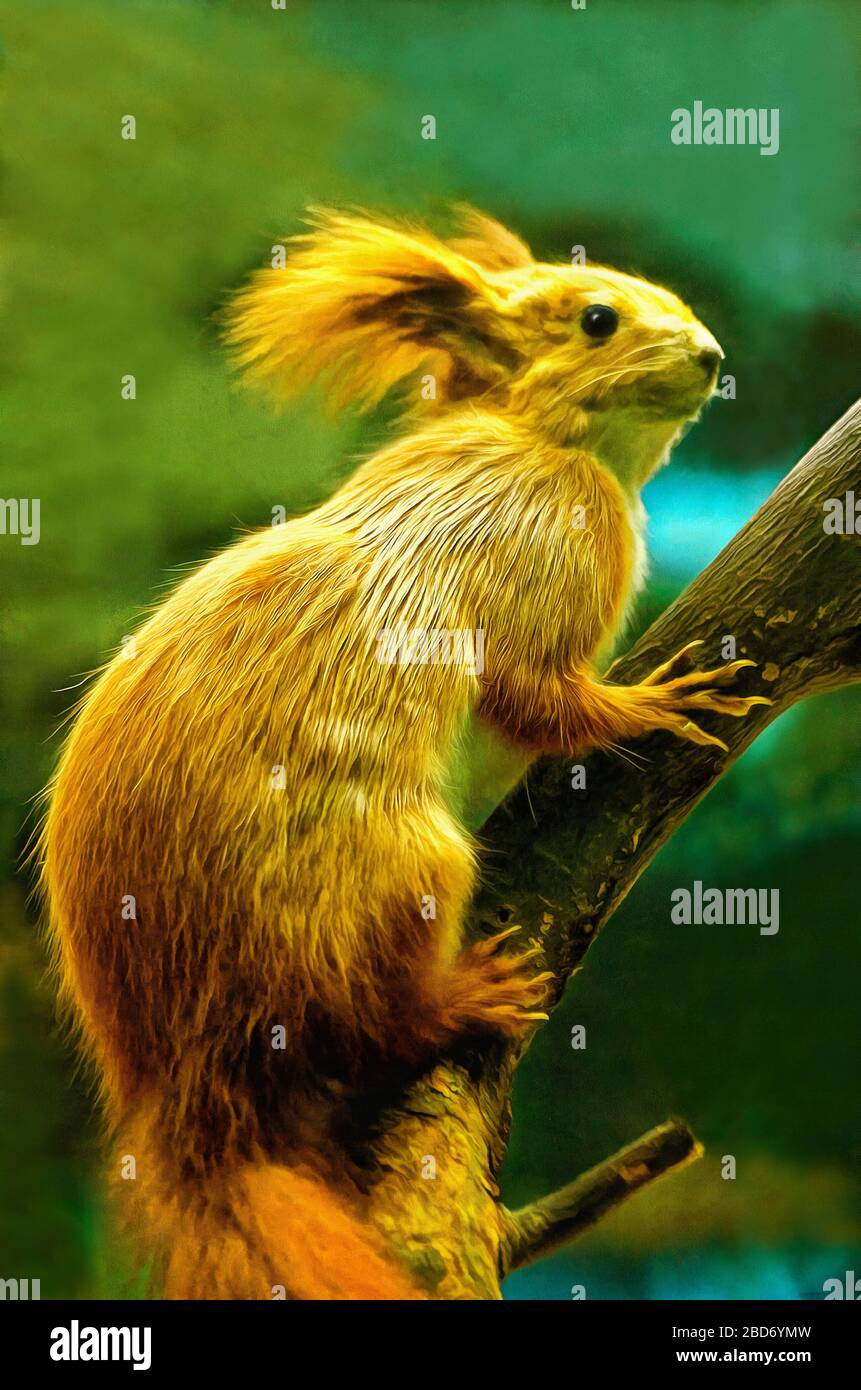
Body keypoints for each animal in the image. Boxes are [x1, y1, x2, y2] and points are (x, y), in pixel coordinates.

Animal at [39, 208, 767, 1300]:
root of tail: (198, 1107)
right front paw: (658, 702)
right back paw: (465, 1000)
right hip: (404, 866)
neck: (531, 440)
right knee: (374, 1023)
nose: (711, 356)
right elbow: (538, 695)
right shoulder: (537, 550)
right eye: (596, 318)